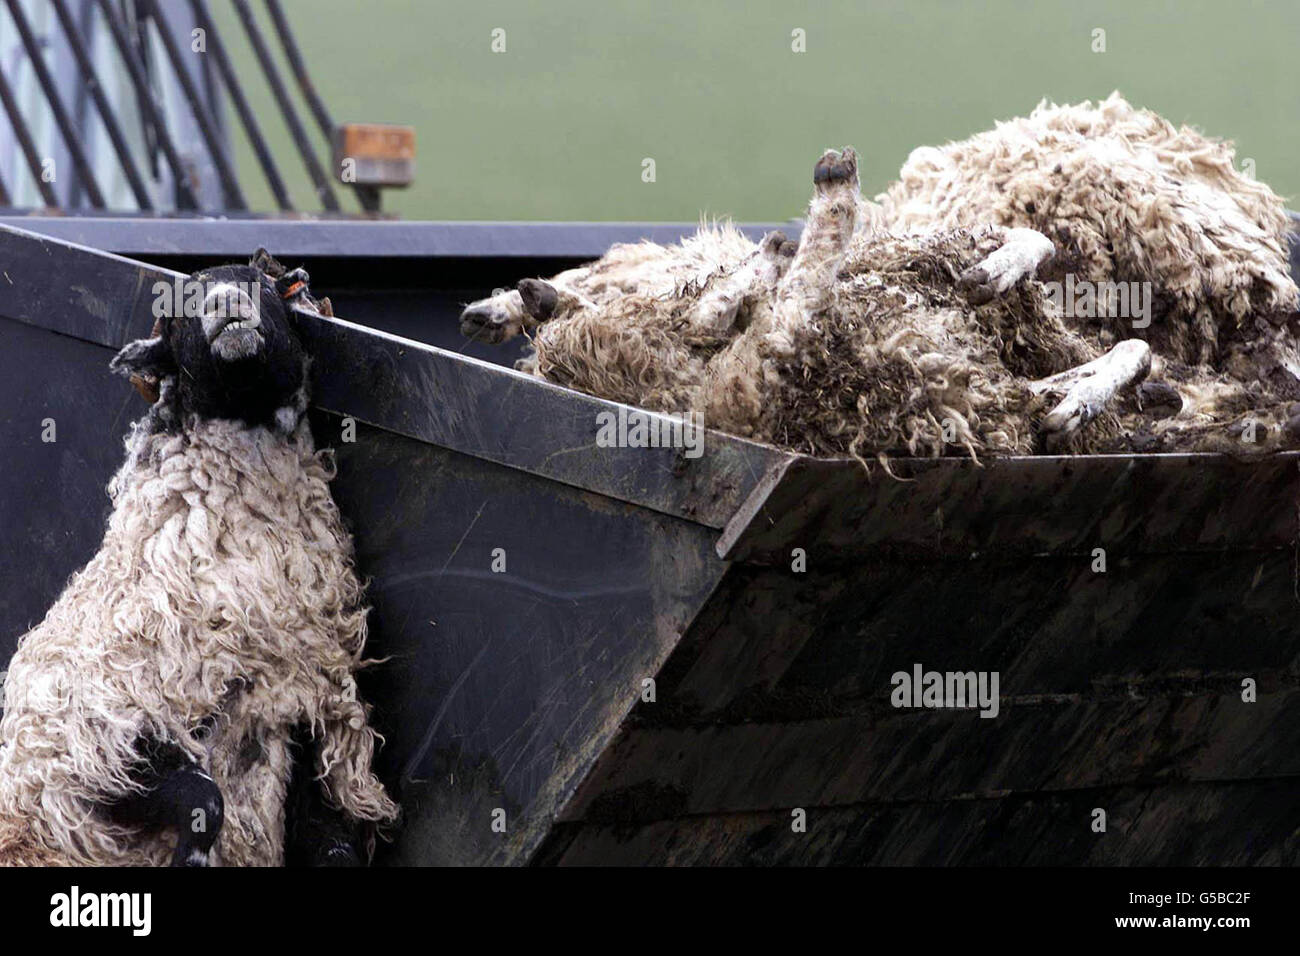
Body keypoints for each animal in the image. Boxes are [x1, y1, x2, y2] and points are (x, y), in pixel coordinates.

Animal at [0, 252, 398, 866]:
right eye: (179, 310)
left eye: (263, 286)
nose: (225, 304)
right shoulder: (108, 735)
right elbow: (203, 803)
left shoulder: (309, 712)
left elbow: (333, 842)